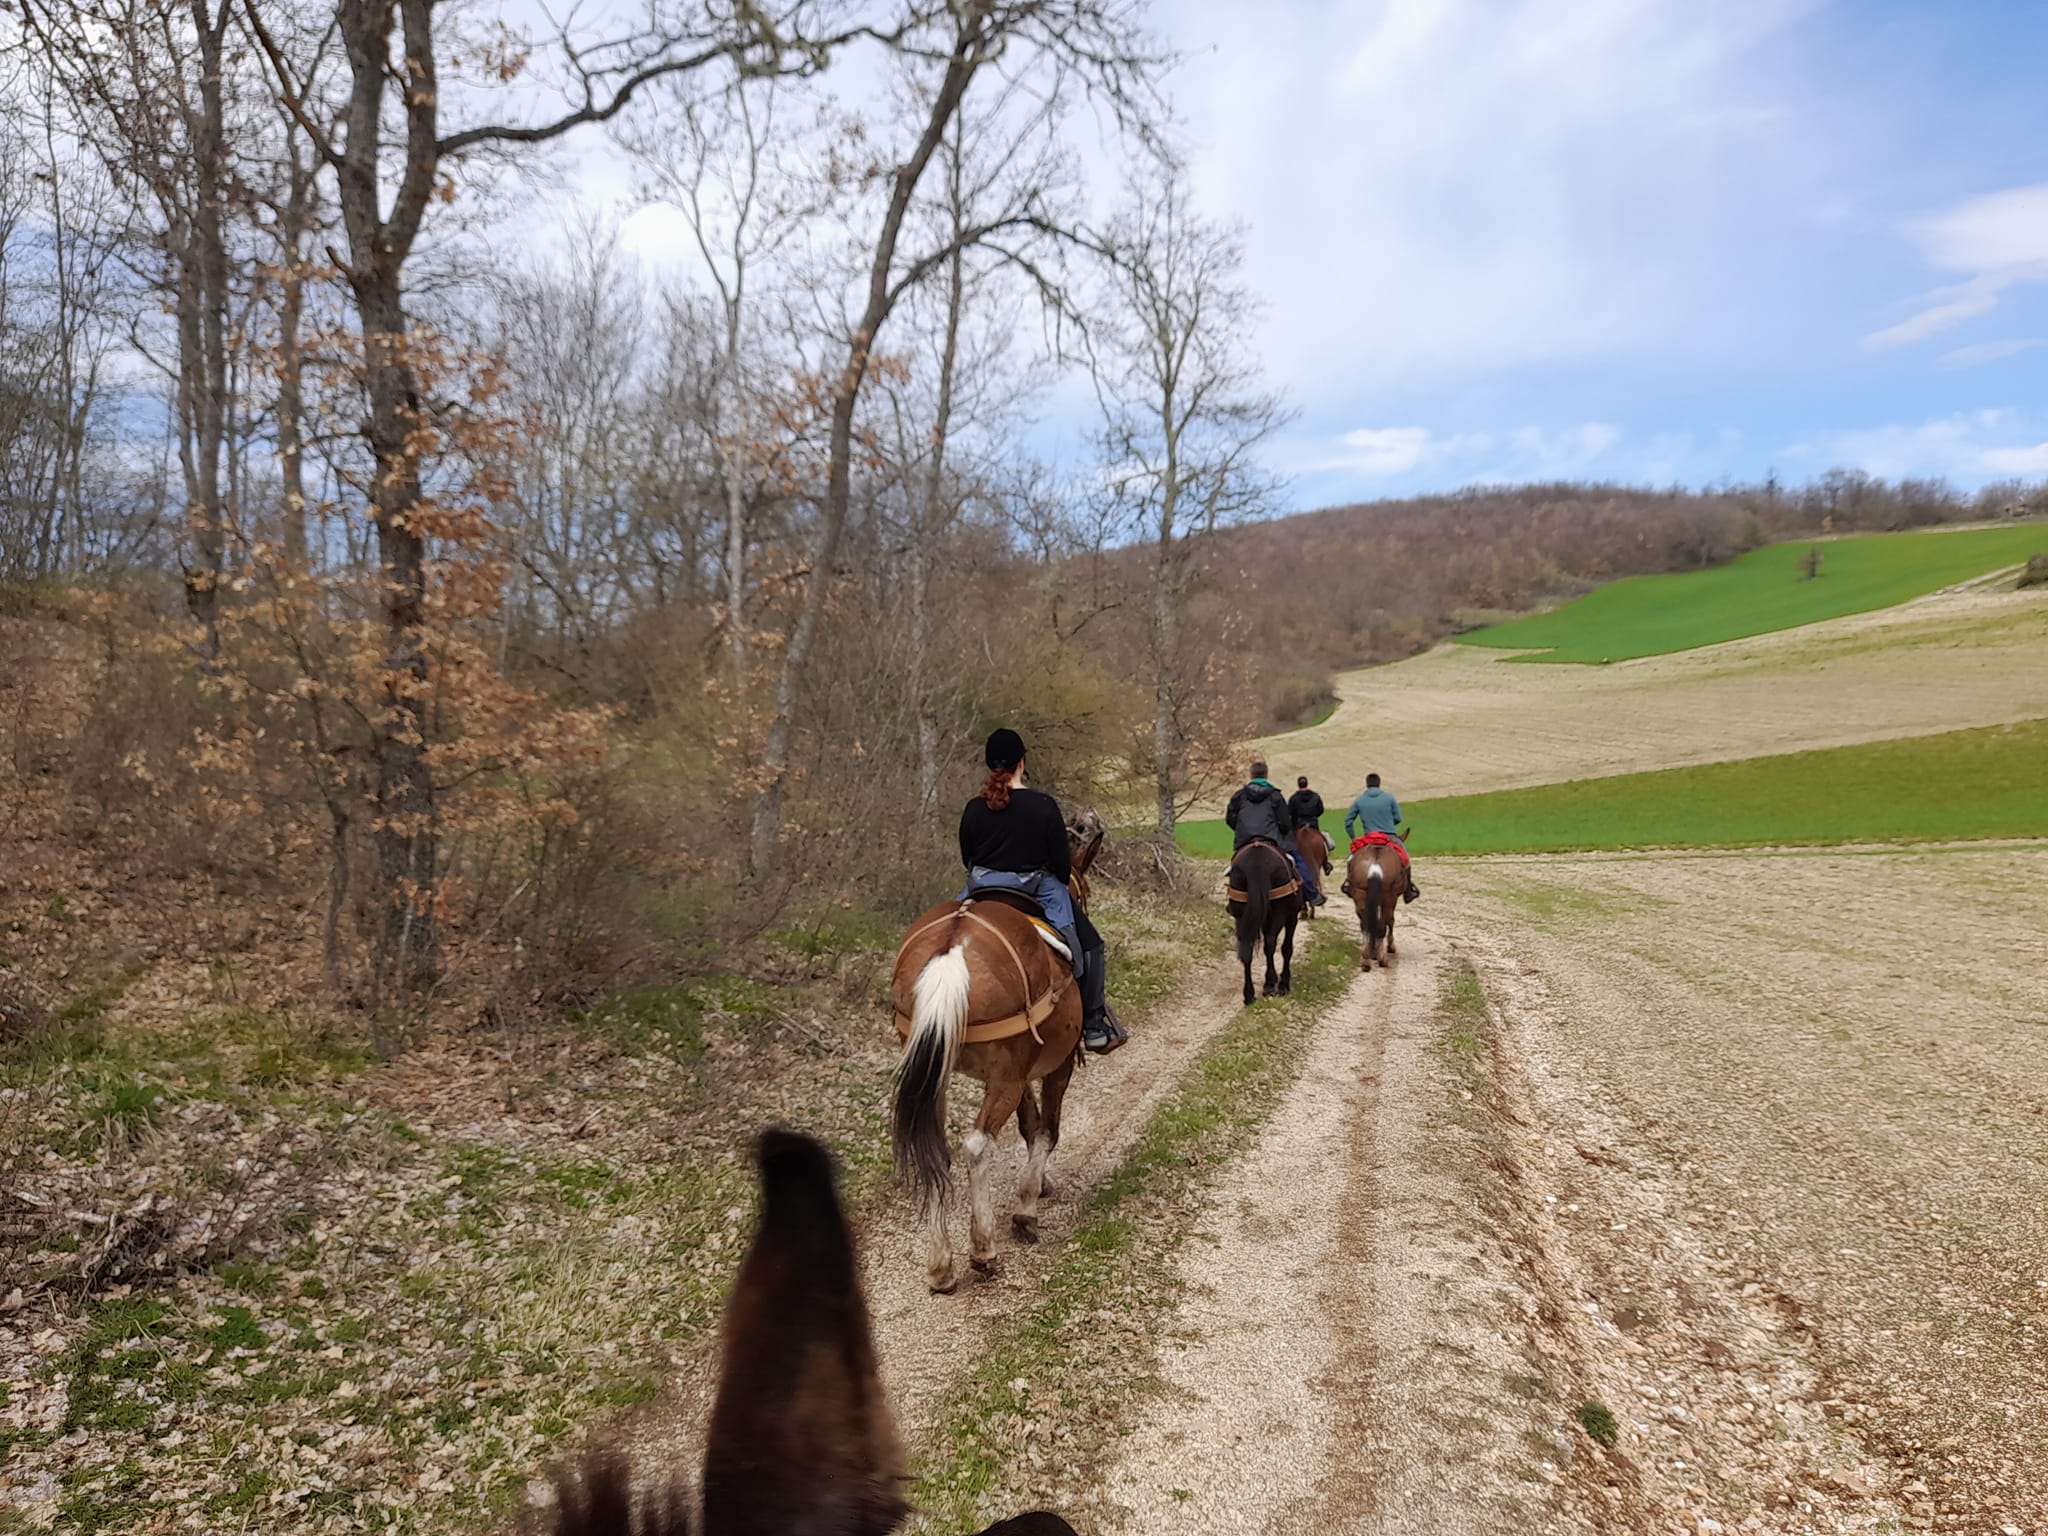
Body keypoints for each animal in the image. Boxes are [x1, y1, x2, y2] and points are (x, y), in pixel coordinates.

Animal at [1226, 840, 1303, 1006]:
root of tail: (1256, 861)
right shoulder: (1292, 918)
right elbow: (1287, 948)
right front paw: (1283, 983)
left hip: (1240, 917)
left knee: (1246, 950)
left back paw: (1249, 995)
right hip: (1280, 915)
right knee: (1271, 943)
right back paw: (1270, 984)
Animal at [1341, 834, 1409, 969]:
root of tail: (1375, 865)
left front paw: (1373, 951)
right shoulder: (1392, 899)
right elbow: (1390, 921)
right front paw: (1389, 947)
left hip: (1360, 895)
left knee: (1364, 924)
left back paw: (1366, 958)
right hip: (1388, 898)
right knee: (1383, 924)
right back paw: (1382, 958)